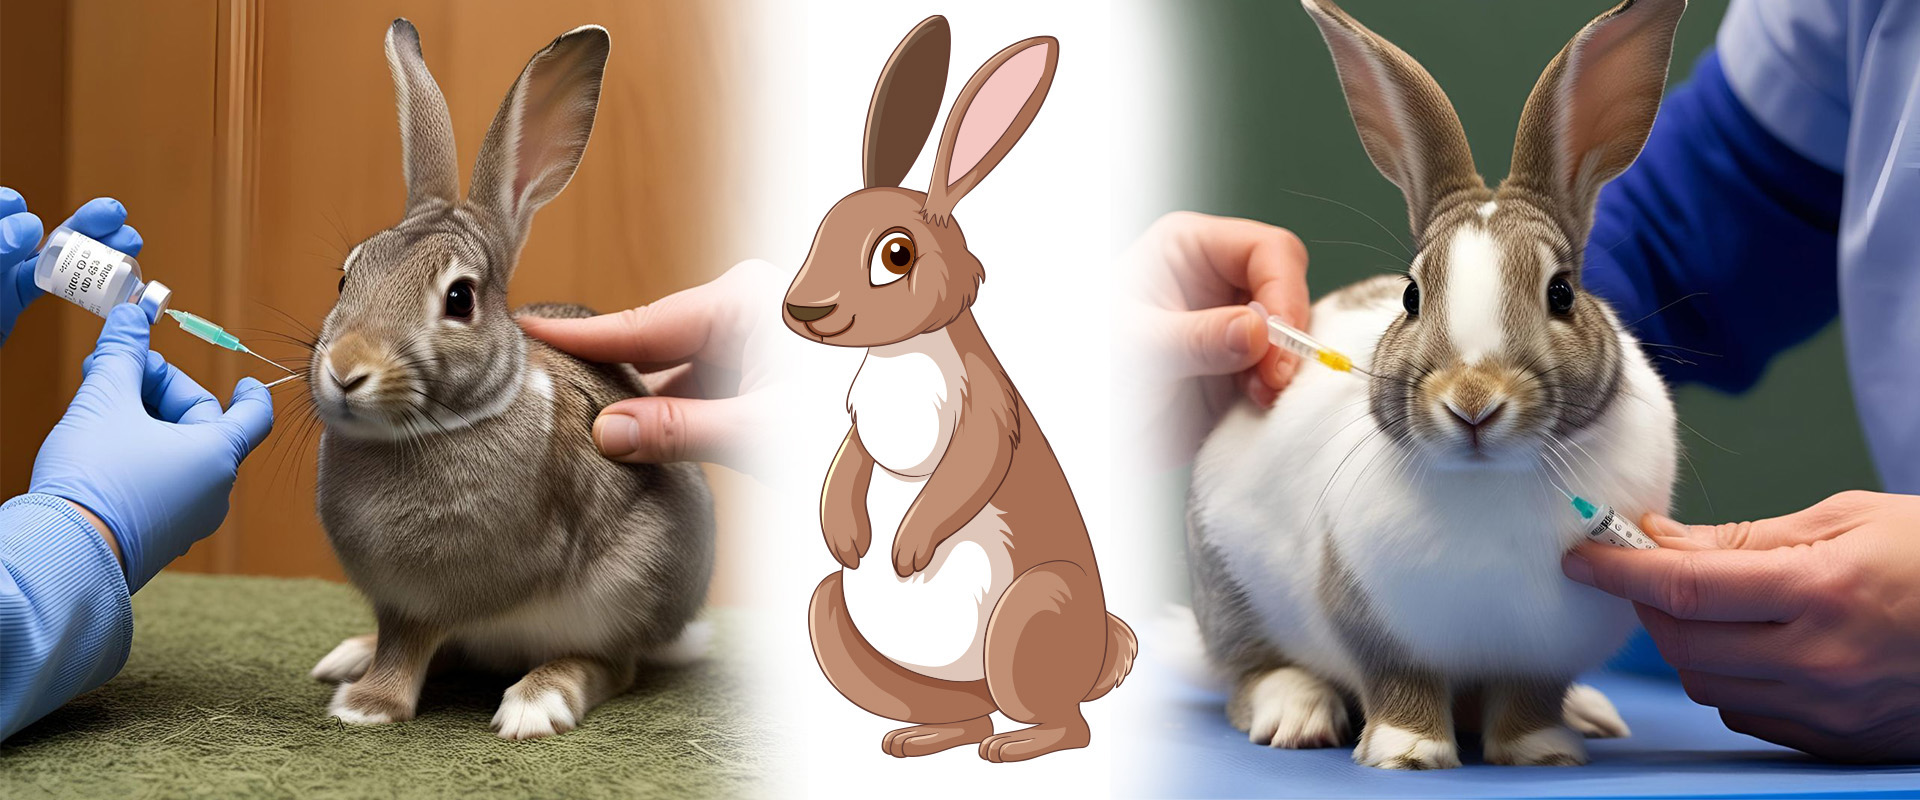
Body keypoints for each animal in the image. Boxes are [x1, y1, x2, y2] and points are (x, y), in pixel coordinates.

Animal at [304, 19, 714, 740]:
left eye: (460, 299)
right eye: (346, 277)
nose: (346, 371)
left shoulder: (442, 594)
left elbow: (416, 639)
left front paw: (366, 708)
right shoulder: (398, 601)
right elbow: (399, 640)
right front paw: (365, 690)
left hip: (627, 587)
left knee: (612, 665)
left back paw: (536, 701)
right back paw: (348, 656)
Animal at [780, 15, 1135, 763]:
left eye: (896, 255)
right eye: (821, 229)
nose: (803, 310)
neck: (901, 353)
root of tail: (1099, 658)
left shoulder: (984, 410)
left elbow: (970, 469)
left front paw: (907, 548)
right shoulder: (860, 421)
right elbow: (850, 461)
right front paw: (849, 540)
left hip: (1030, 614)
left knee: (1068, 725)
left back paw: (1015, 749)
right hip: (837, 622)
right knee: (967, 712)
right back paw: (922, 738)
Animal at [1185, 0, 1686, 769]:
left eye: (1562, 293)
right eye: (1412, 296)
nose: (1473, 402)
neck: (1491, 482)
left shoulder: (1540, 655)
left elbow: (1530, 699)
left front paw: (1543, 751)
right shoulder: (1373, 623)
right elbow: (1400, 683)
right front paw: (1408, 752)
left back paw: (1590, 714)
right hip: (1228, 587)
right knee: (1247, 671)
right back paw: (1297, 714)